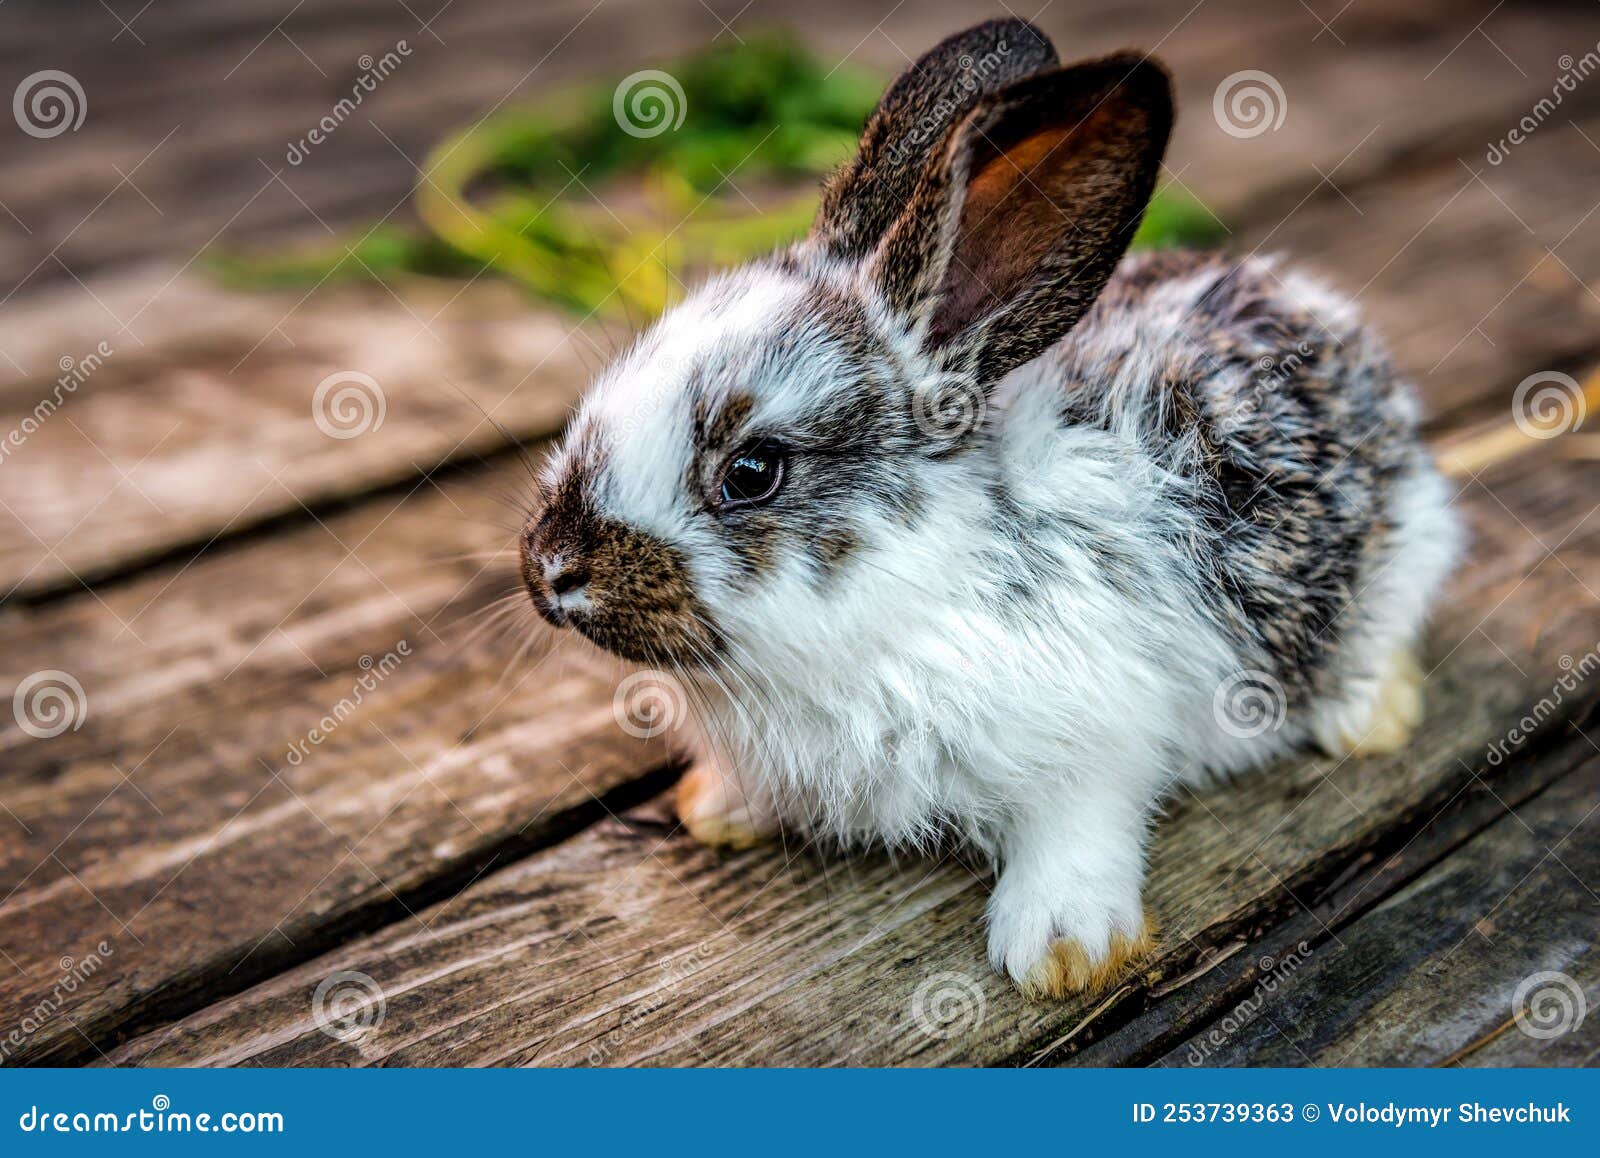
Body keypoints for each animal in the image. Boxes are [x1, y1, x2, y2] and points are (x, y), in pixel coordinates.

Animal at [520, 18, 1463, 997]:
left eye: (751, 472)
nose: (550, 571)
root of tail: (1324, 313)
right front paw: (716, 809)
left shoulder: (1095, 751)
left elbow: (1077, 838)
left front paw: (1063, 953)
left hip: (1403, 556)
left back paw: (1369, 723)